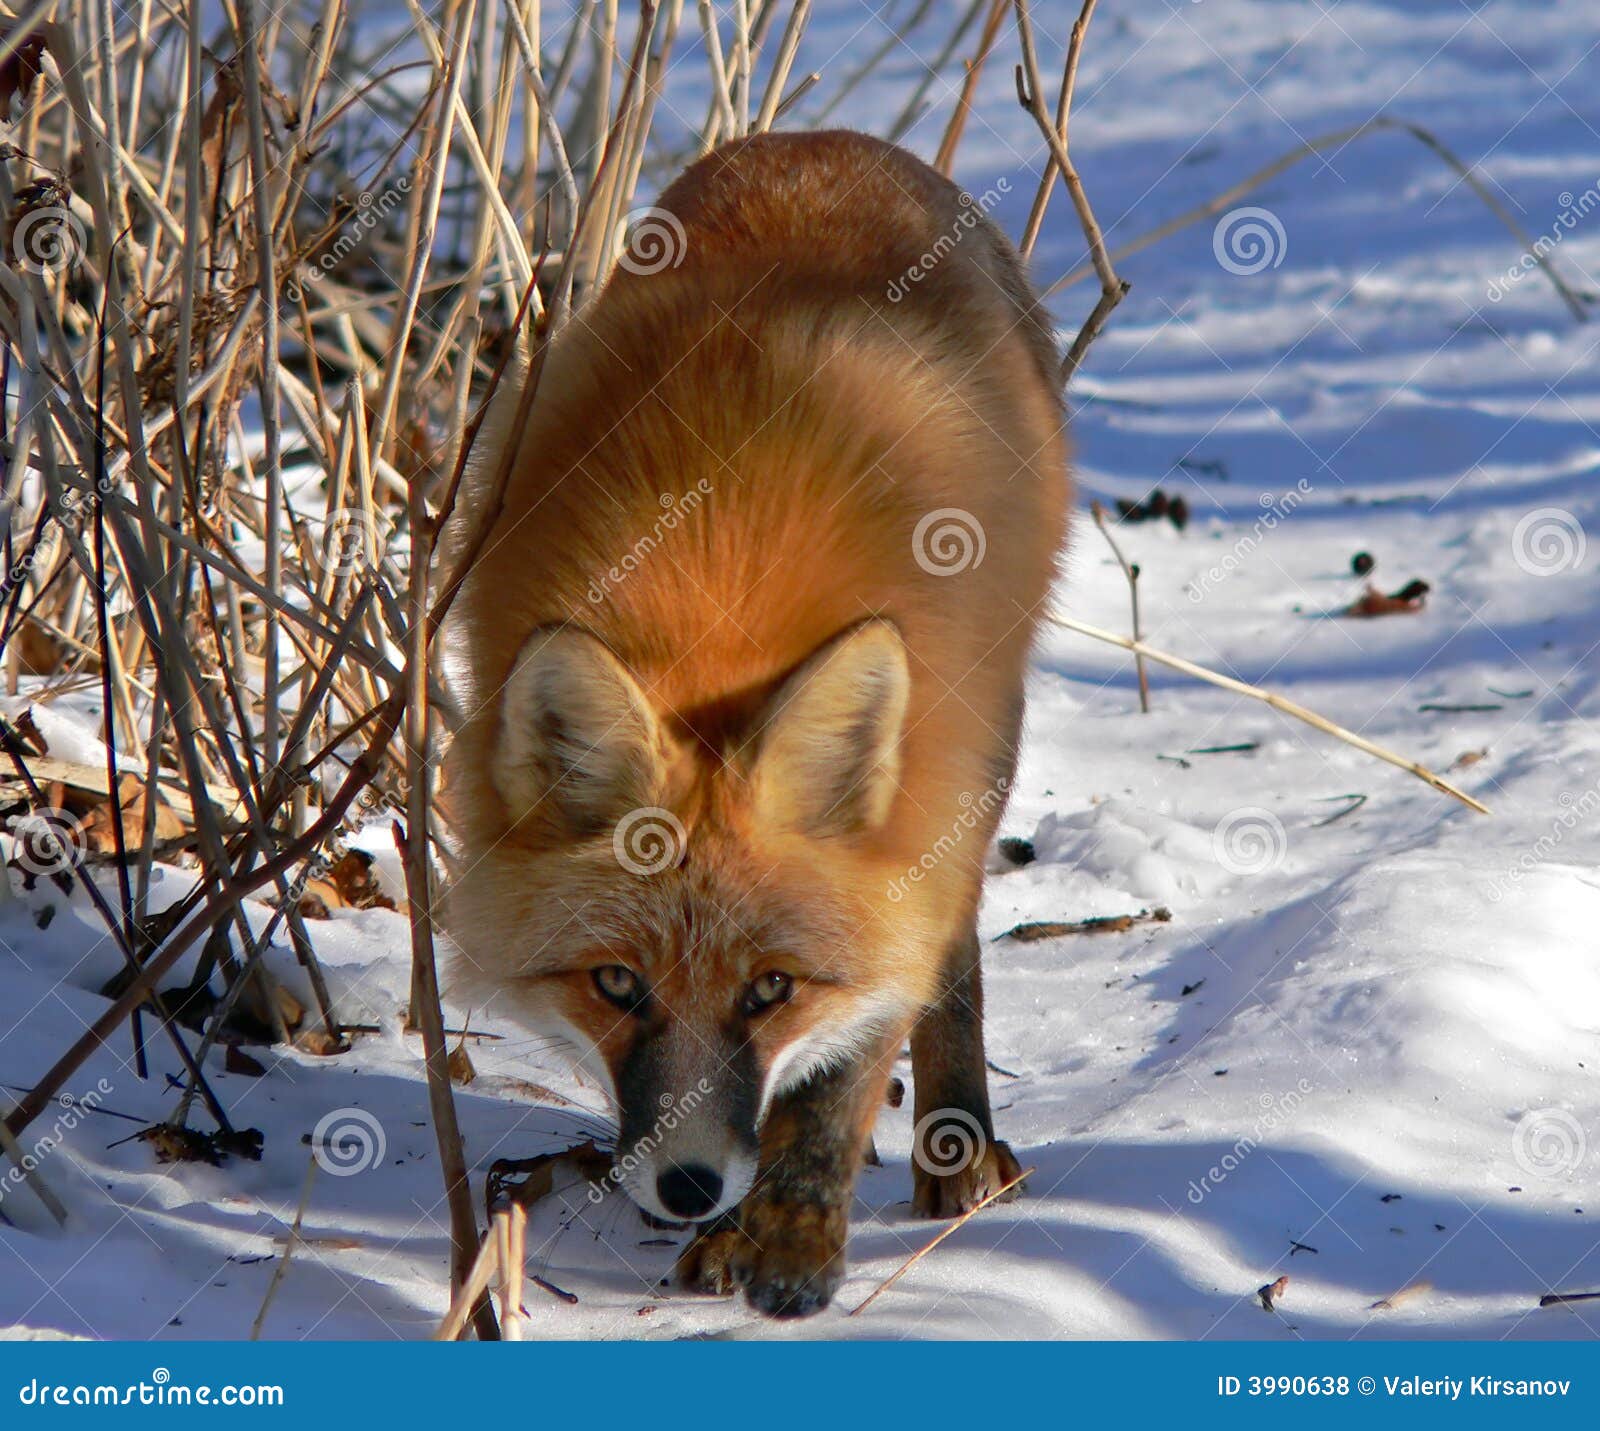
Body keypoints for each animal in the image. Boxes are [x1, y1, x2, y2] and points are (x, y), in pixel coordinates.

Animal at [443, 130, 1070, 1318]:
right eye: (617, 985)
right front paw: (746, 1223)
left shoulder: (912, 843)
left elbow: (846, 1064)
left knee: (952, 965)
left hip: (989, 745)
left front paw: (792, 1237)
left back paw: (955, 1144)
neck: (718, 597)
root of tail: (826, 143)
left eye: (769, 989)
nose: (688, 1186)